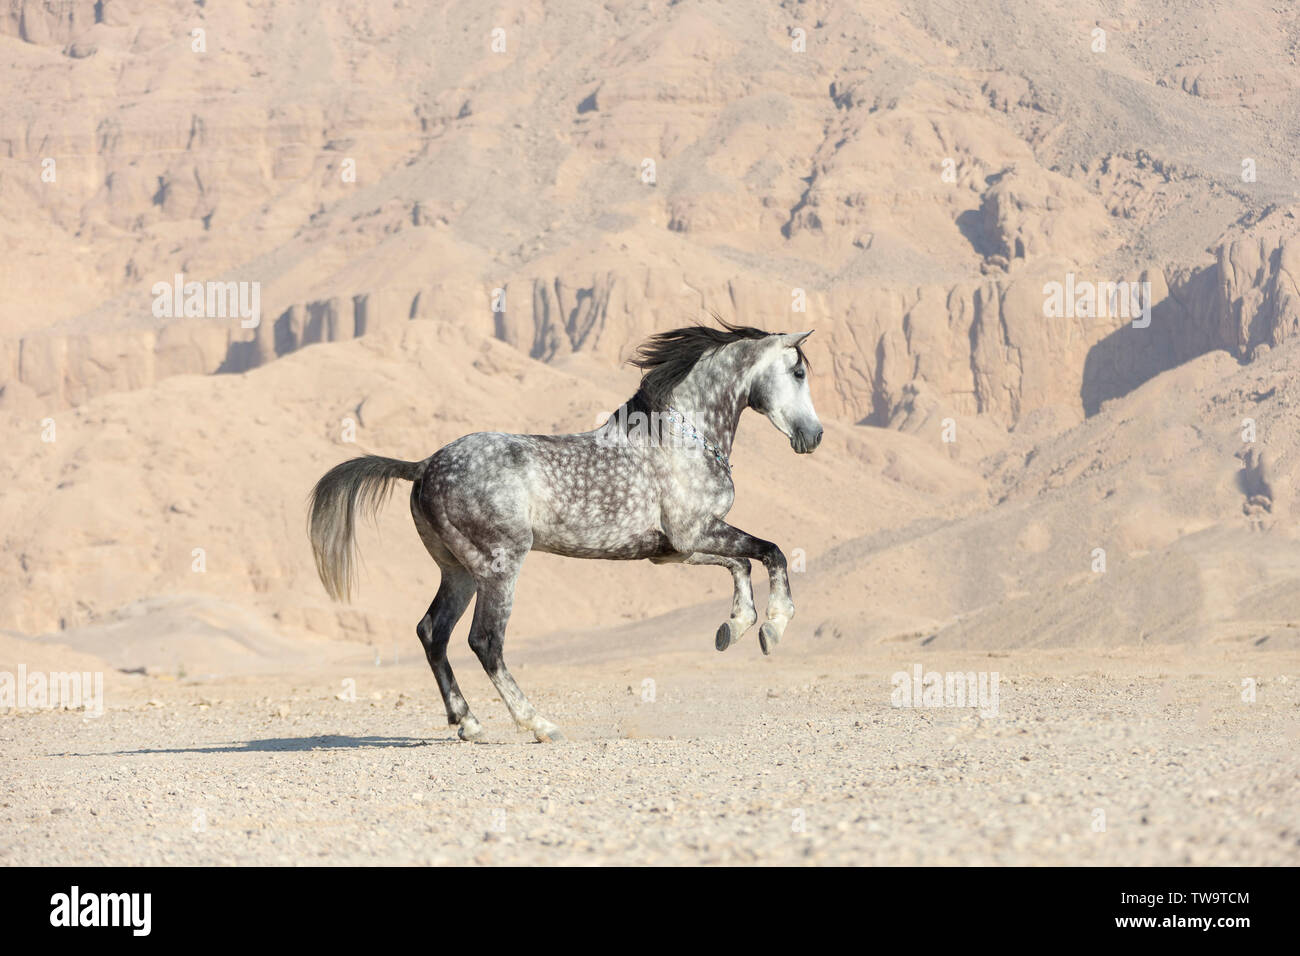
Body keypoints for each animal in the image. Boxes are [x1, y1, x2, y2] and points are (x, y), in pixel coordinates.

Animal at [308, 321, 823, 742]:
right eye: (798, 372)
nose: (813, 437)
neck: (679, 438)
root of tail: (424, 466)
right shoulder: (697, 533)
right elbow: (771, 552)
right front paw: (772, 627)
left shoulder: (679, 548)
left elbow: (741, 563)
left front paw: (734, 627)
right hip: (499, 567)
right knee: (484, 641)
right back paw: (537, 724)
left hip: (457, 571)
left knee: (432, 632)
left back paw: (469, 723)